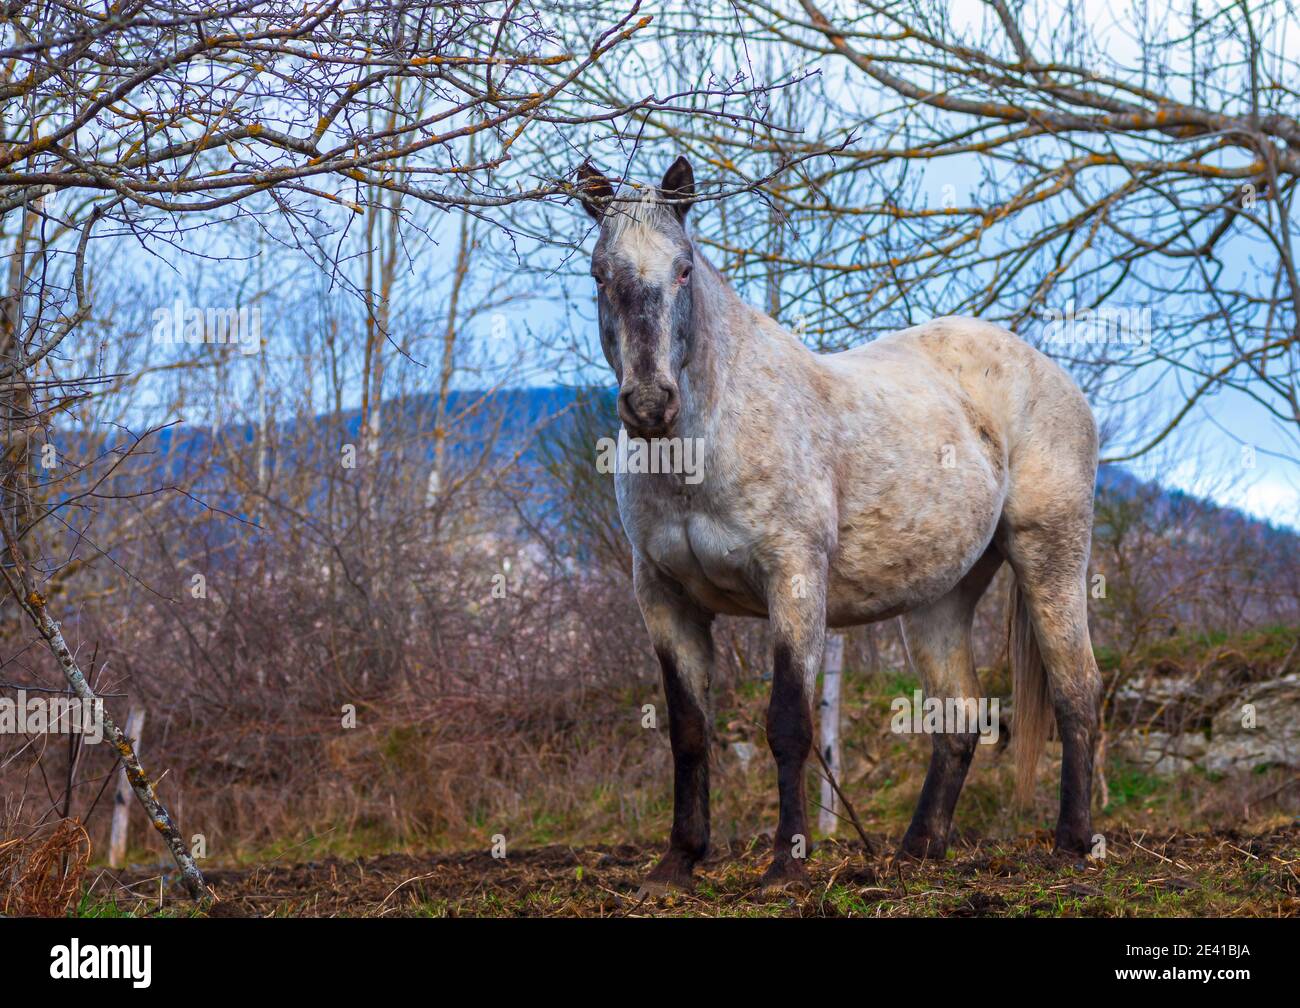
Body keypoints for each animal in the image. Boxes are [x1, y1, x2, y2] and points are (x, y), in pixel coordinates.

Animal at [576, 156, 1102, 891]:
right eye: (601, 274)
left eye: (681, 269)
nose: (650, 403)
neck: (704, 442)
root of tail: (1053, 377)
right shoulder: (664, 599)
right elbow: (688, 732)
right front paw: (677, 864)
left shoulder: (794, 579)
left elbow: (789, 725)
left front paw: (785, 867)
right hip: (942, 597)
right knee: (960, 715)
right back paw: (918, 850)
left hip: (1050, 557)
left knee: (1077, 690)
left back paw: (1072, 843)